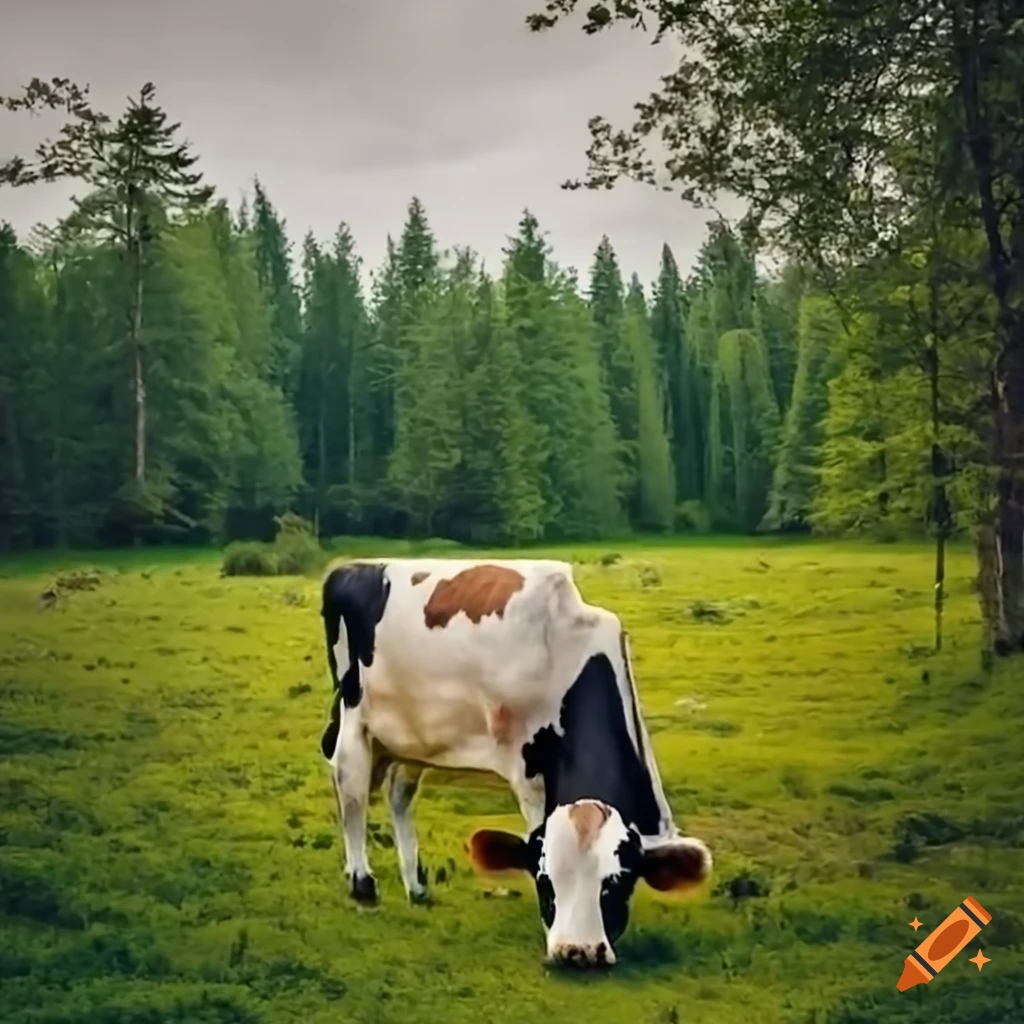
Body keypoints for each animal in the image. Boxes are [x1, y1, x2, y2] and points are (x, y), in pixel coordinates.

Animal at [318, 557, 711, 967]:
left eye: (616, 883)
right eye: (545, 881)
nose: (579, 952)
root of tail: (353, 567)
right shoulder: (530, 773)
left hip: (413, 734)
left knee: (399, 795)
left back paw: (417, 887)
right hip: (353, 715)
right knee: (351, 788)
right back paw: (362, 883)